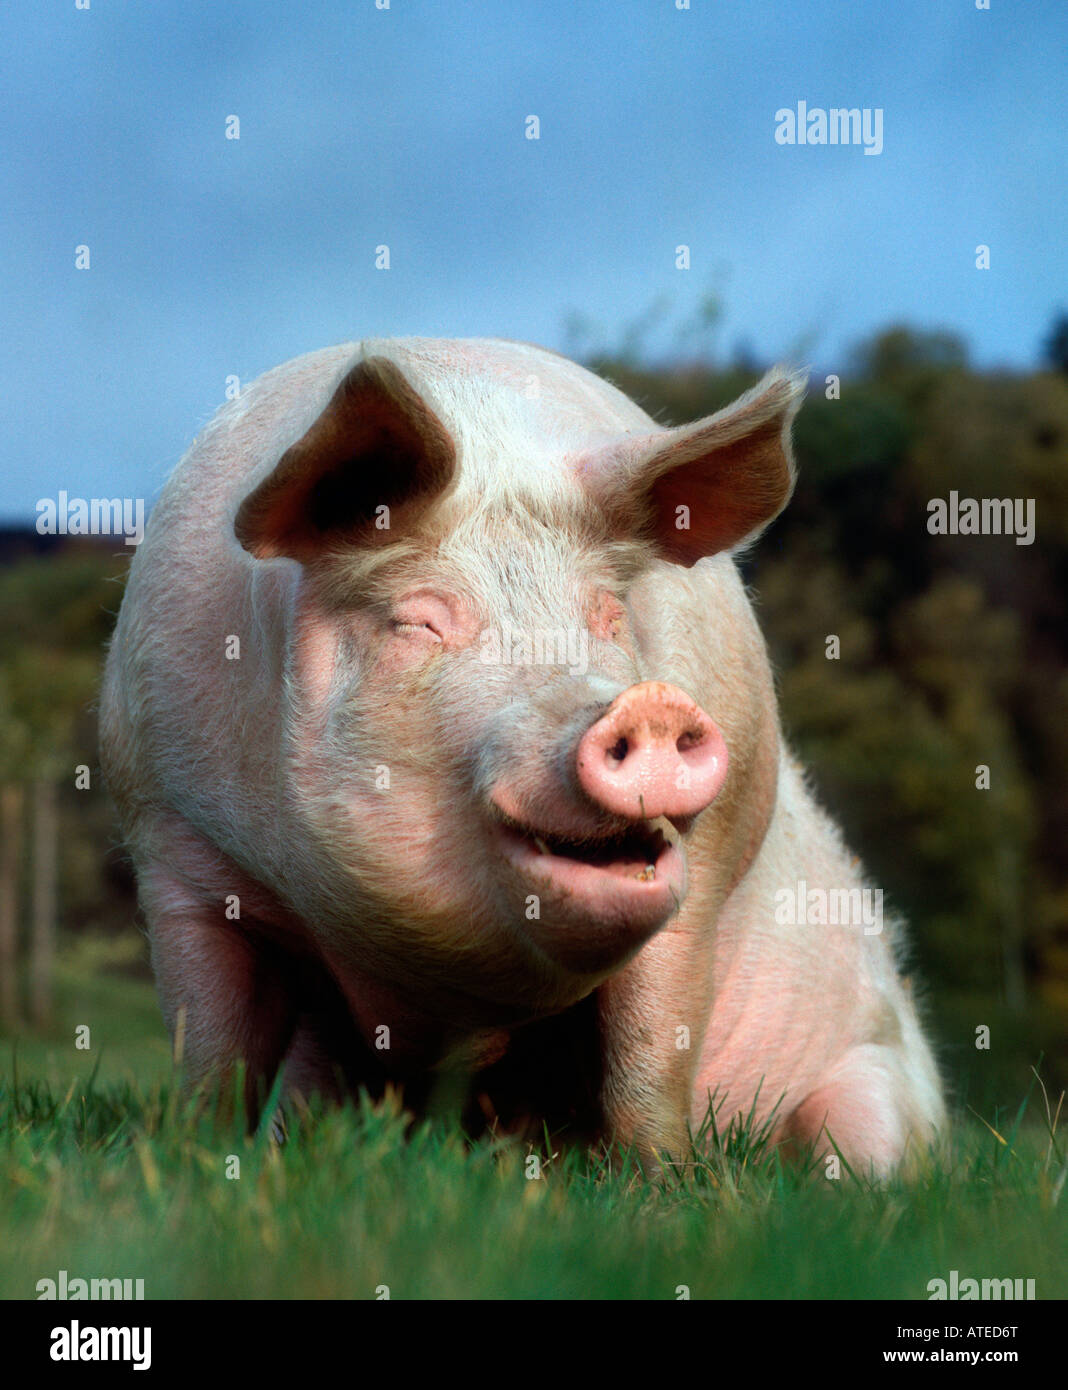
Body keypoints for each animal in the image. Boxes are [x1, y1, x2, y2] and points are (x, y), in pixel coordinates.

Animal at [99, 337, 945, 1175]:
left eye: (608, 614)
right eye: (420, 622)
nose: (648, 705)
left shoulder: (710, 861)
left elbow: (653, 1046)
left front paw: (665, 1185)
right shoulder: (170, 840)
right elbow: (212, 1041)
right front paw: (198, 1159)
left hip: (874, 1088)